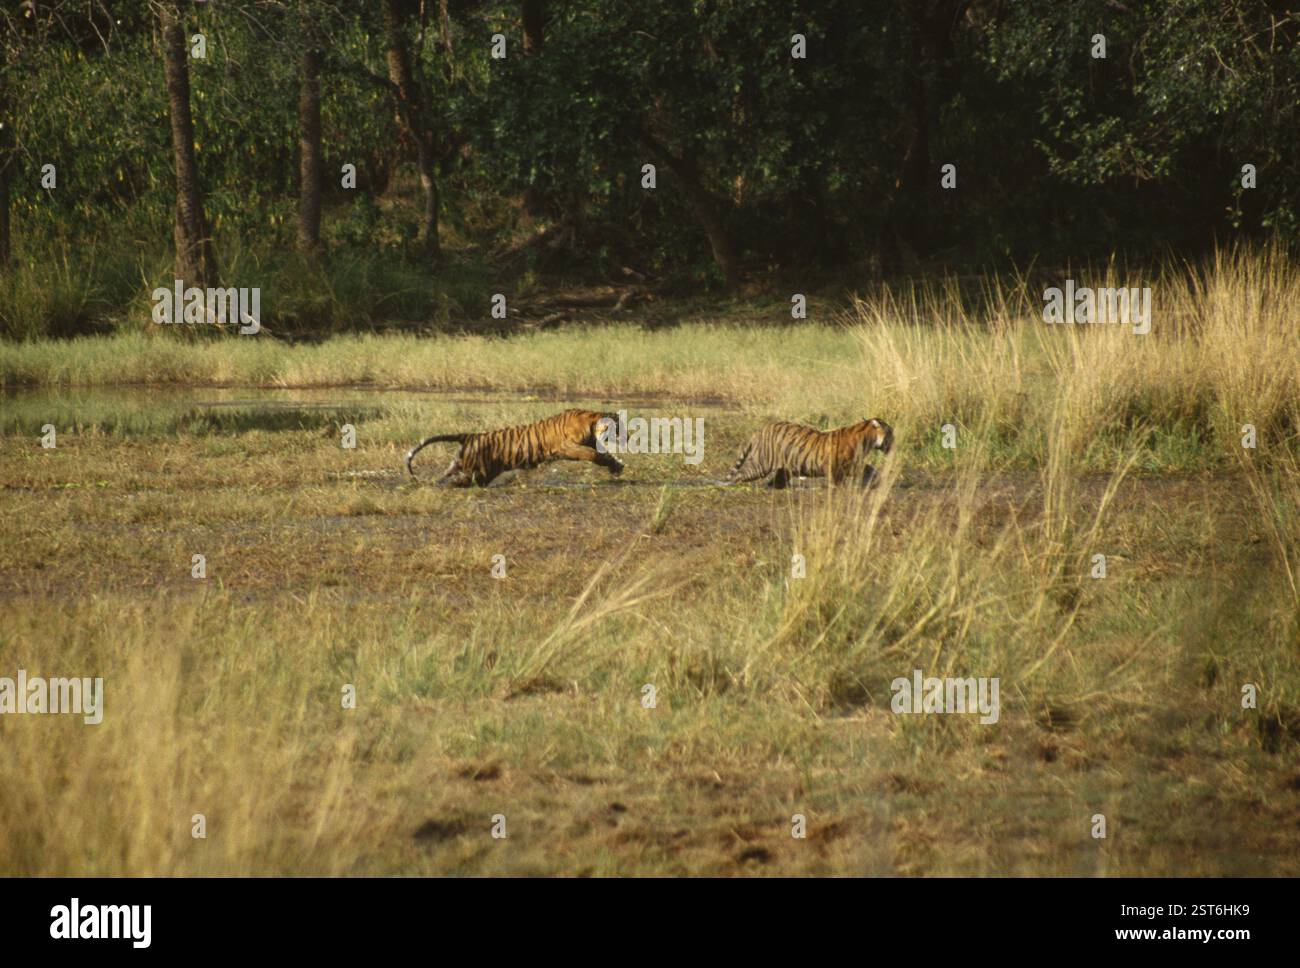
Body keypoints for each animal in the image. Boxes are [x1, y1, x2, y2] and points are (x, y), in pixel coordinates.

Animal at [405, 408, 625, 486]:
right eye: (618, 427)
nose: (629, 435)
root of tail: (470, 436)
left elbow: (606, 456)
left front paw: (617, 467)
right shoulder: (568, 447)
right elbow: (592, 455)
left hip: (475, 469)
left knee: (450, 474)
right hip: (474, 470)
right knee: (458, 479)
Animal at [725, 417, 893, 488]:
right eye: (890, 433)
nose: (894, 443)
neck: (868, 441)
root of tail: (761, 429)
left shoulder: (854, 464)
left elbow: (871, 469)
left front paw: (879, 481)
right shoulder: (836, 467)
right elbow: (838, 481)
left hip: (784, 468)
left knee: (776, 481)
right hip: (761, 464)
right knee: (740, 474)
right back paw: (732, 485)